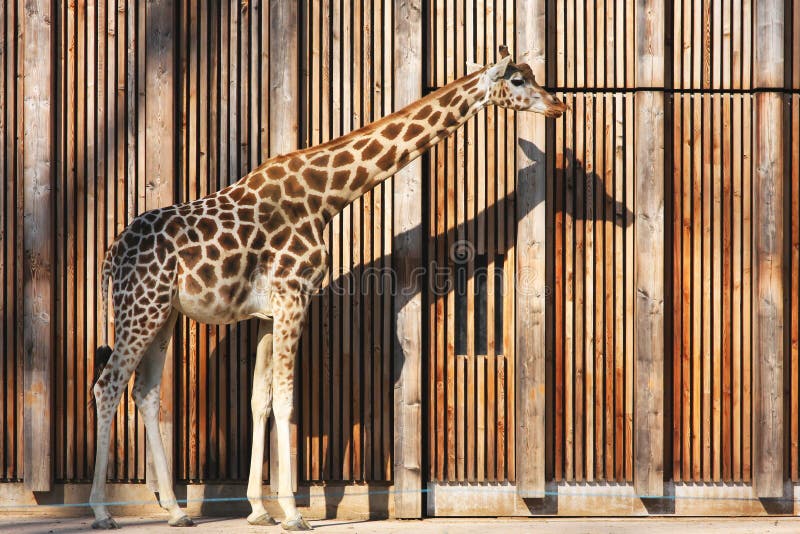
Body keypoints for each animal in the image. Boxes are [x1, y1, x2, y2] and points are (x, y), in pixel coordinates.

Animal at [88, 47, 567, 530]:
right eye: (518, 81)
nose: (558, 105)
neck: (325, 197)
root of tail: (111, 256)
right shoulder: (292, 298)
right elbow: (286, 402)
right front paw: (292, 513)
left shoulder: (268, 314)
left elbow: (260, 401)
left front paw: (258, 509)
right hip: (140, 308)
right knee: (107, 385)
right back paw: (100, 511)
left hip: (163, 313)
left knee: (145, 392)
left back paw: (174, 510)